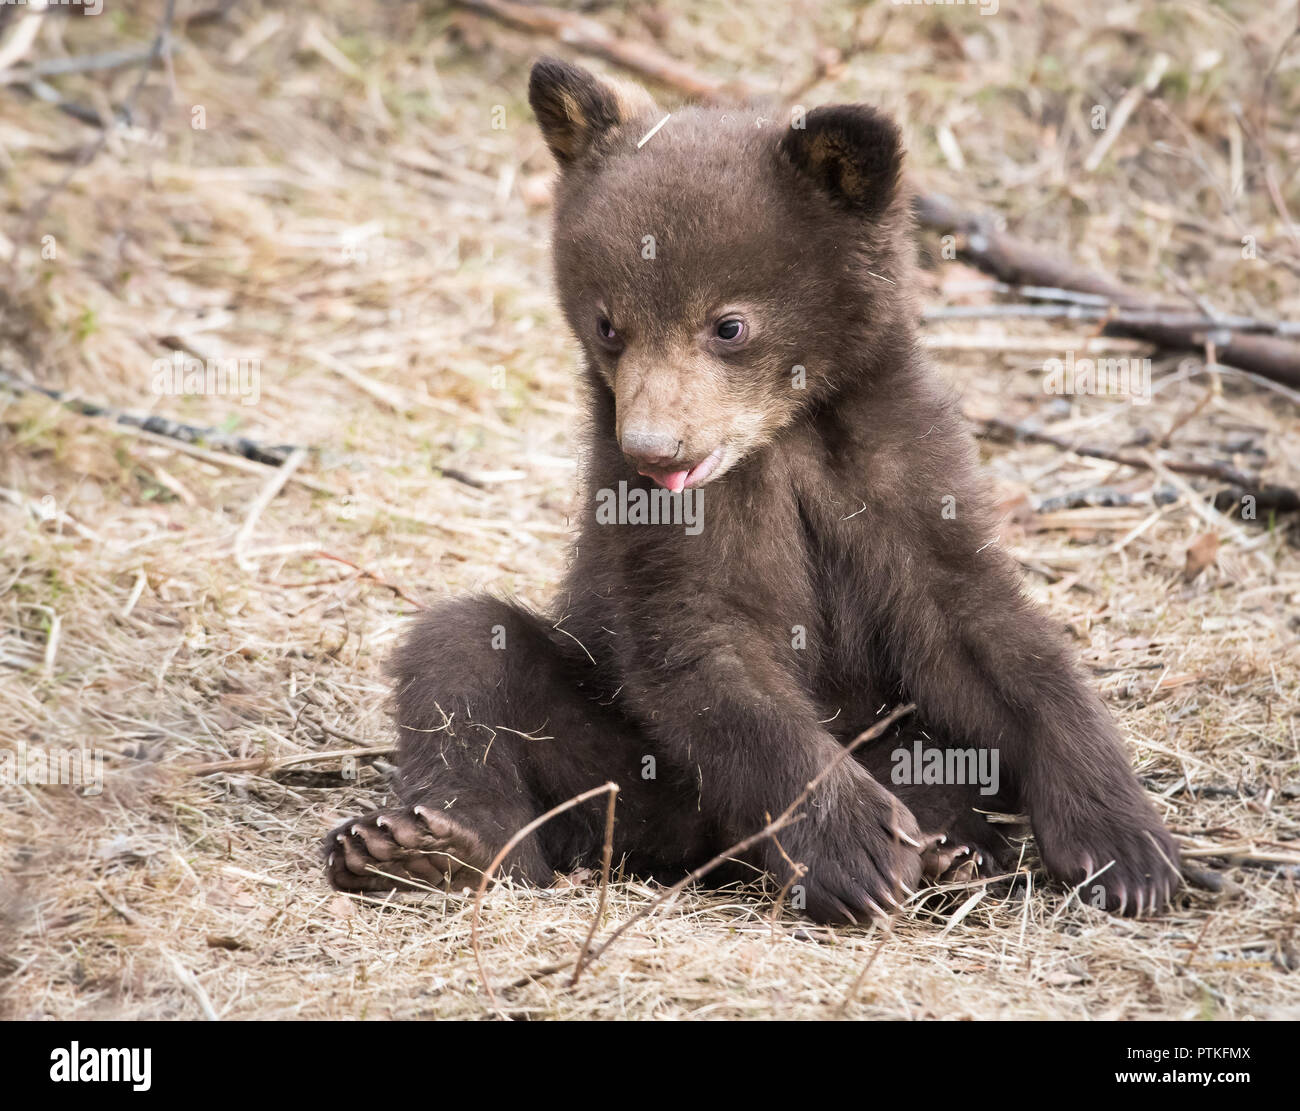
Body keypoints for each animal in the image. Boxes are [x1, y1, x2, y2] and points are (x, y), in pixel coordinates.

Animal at [324, 57, 1181, 925]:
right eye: (608, 325)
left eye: (729, 324)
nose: (653, 448)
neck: (786, 433)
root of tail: (702, 854)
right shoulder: (665, 519)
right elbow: (705, 645)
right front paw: (857, 846)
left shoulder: (902, 466)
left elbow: (986, 631)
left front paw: (1130, 845)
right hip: (619, 758)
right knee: (462, 648)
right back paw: (430, 848)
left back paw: (950, 849)